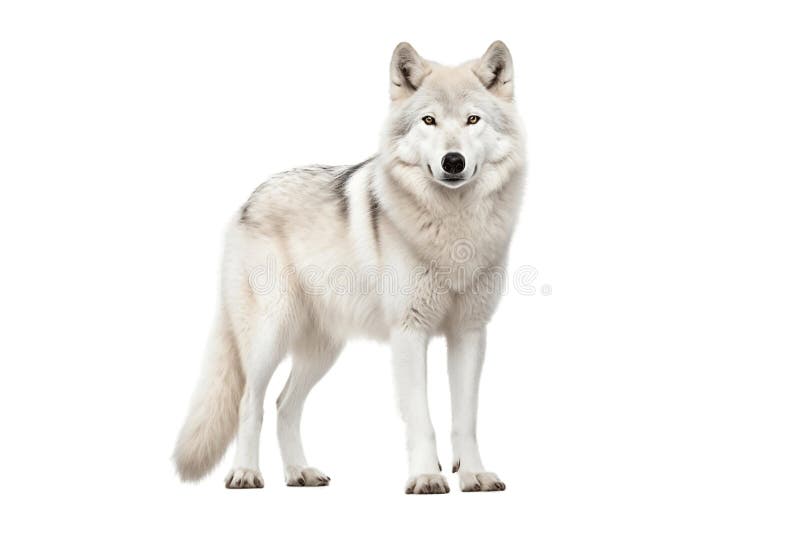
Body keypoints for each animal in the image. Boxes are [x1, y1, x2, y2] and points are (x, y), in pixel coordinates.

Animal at [173, 41, 526, 494]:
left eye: (473, 119)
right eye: (428, 120)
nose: (453, 161)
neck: (453, 227)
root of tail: (248, 199)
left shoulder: (469, 333)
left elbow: (465, 419)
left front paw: (474, 475)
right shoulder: (409, 332)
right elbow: (422, 419)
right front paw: (427, 476)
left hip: (323, 350)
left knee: (285, 404)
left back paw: (300, 472)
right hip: (269, 337)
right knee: (250, 403)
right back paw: (246, 473)